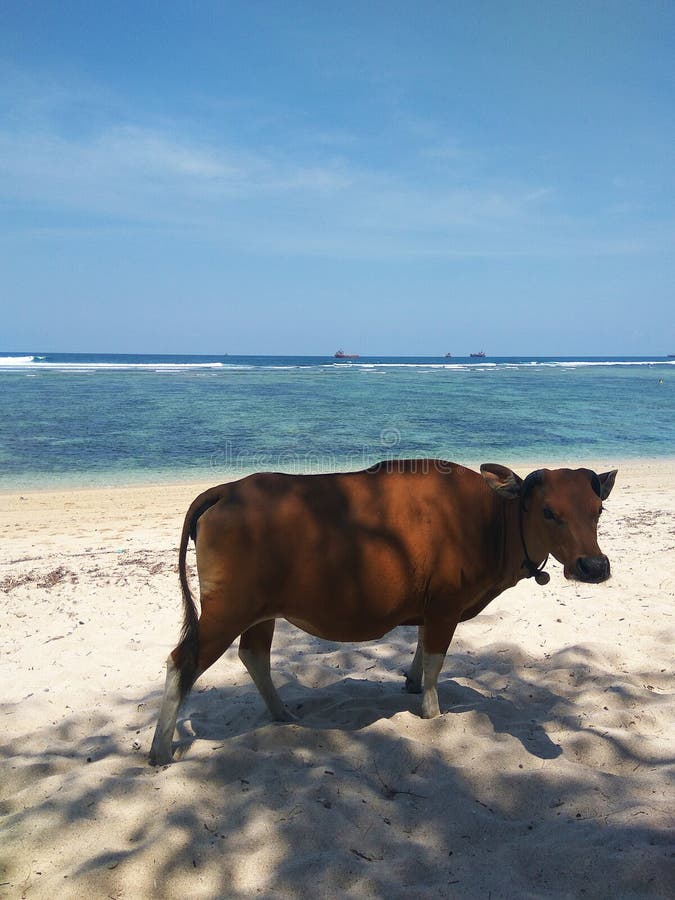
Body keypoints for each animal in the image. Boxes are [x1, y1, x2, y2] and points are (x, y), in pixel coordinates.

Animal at [149, 460, 616, 765]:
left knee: (254, 655)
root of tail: (227, 489)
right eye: (548, 511)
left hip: (262, 612)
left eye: (597, 511)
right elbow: (436, 660)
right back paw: (160, 749)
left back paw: (282, 715)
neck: (487, 520)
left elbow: (422, 649)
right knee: (181, 661)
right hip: (227, 610)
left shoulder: (431, 609)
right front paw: (430, 710)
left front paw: (410, 682)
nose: (593, 566)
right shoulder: (446, 605)